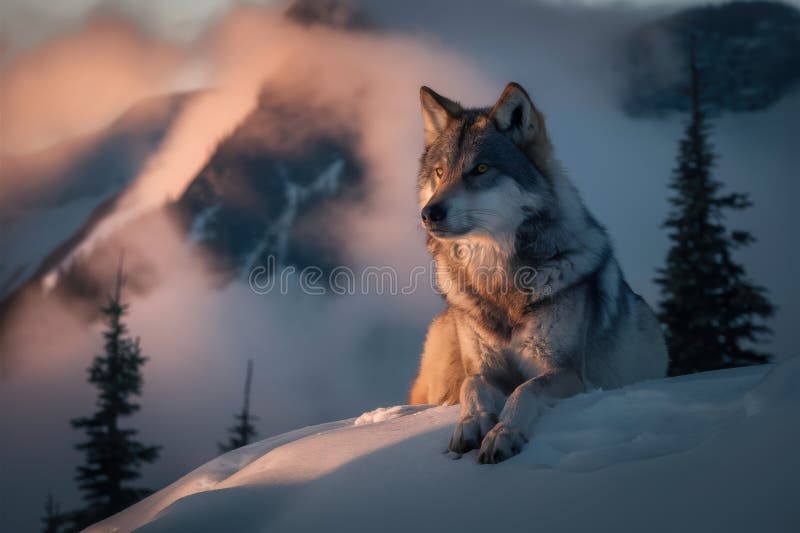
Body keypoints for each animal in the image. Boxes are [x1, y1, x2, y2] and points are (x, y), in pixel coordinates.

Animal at [408, 82, 667, 464]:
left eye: (480, 168)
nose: (429, 213)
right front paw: (471, 423)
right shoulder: (483, 369)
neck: (497, 277)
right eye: (440, 172)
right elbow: (472, 385)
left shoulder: (566, 373)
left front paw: (503, 433)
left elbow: (525, 390)